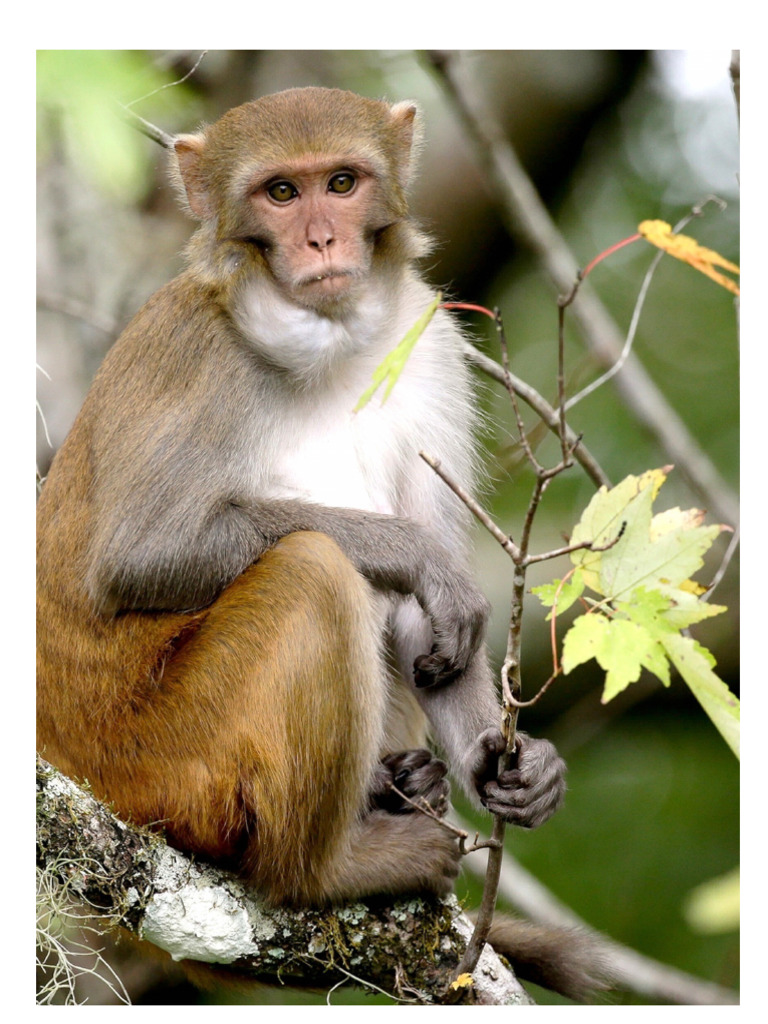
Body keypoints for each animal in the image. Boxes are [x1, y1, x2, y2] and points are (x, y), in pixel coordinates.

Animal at [37, 86, 581, 992]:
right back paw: (329, 870)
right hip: (159, 762)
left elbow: (433, 634)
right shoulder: (198, 352)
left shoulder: (431, 347)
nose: (321, 239)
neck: (329, 341)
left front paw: (510, 765)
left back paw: (404, 784)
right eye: (281, 194)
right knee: (314, 572)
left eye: (342, 182)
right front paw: (418, 555)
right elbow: (142, 556)